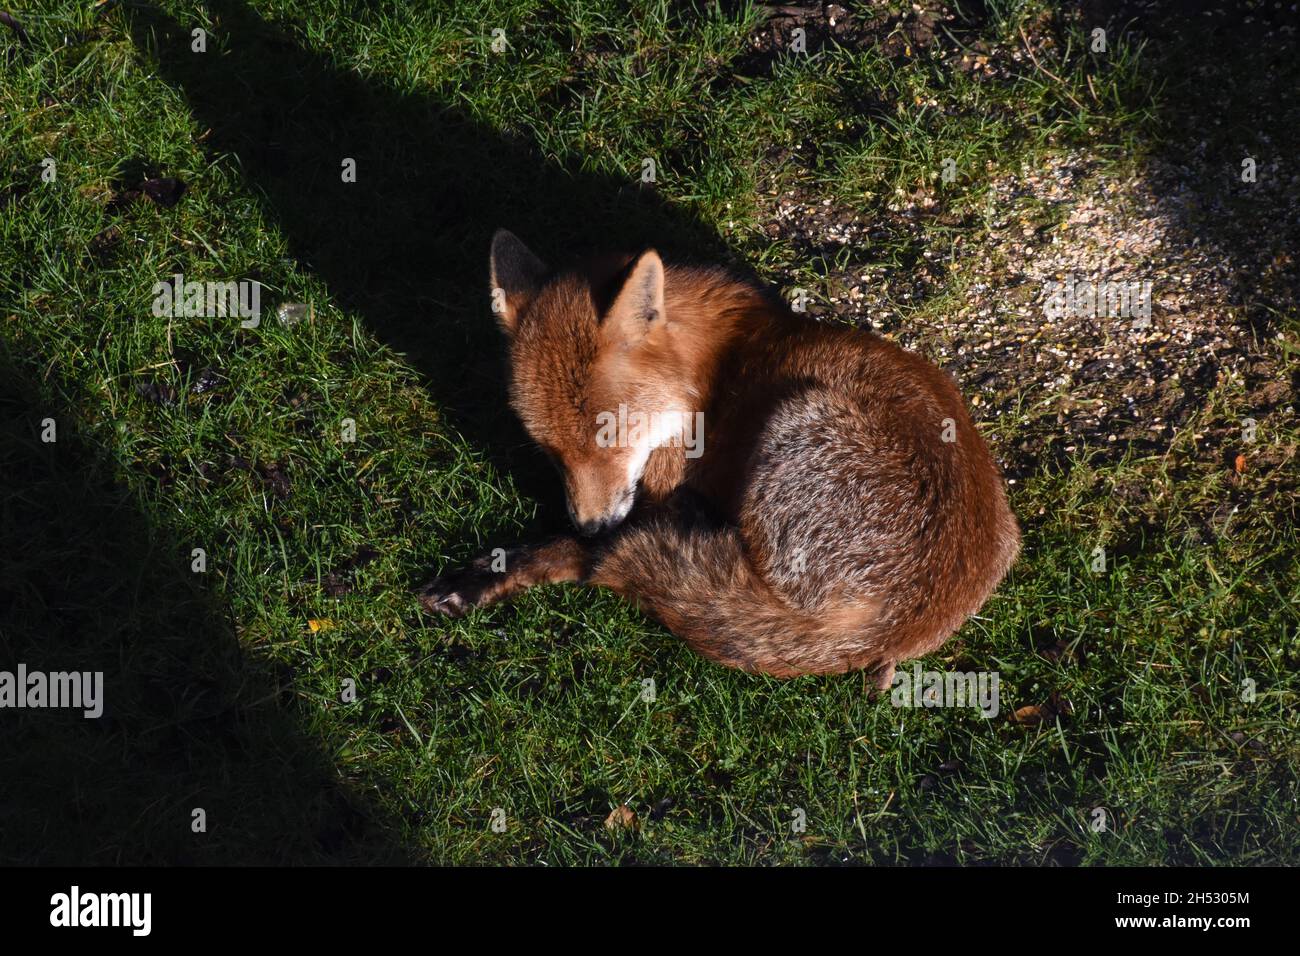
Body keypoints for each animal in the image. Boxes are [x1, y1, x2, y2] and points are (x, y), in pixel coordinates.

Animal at [418, 229, 1020, 686]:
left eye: (612, 435)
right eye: (549, 449)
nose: (591, 523)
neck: (705, 378)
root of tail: (892, 624)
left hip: (795, 422)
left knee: (614, 563)